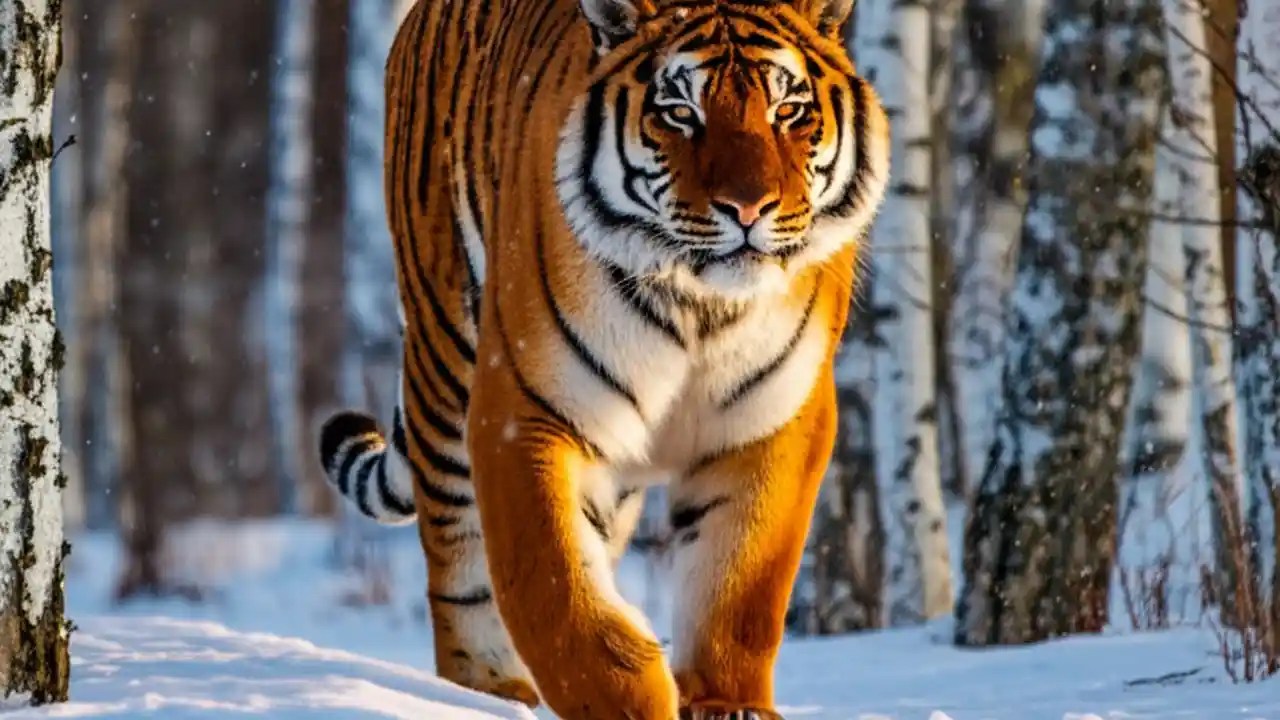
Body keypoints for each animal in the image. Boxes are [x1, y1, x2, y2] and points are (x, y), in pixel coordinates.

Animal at [317, 0, 889, 717]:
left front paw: (728, 702)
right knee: (458, 561)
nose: (748, 208)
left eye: (788, 110)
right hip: (443, 355)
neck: (701, 305)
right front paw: (628, 698)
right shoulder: (526, 409)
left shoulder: (773, 420)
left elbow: (739, 588)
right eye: (680, 112)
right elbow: (556, 589)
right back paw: (489, 691)